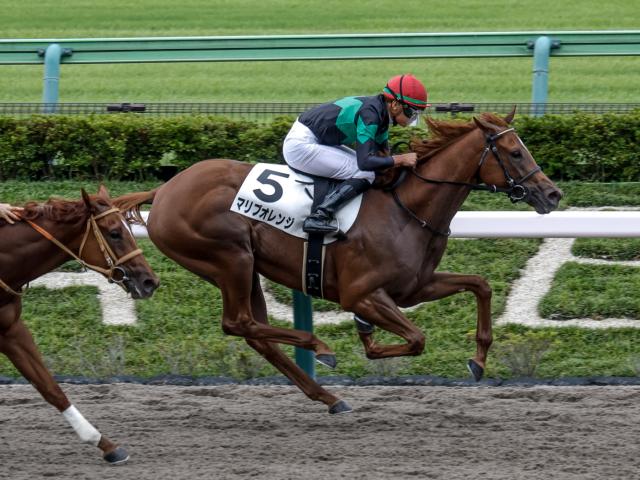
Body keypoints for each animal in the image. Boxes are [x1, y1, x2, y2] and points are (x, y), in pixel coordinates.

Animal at [0, 185, 159, 464]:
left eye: (128, 230)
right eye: (114, 233)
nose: (150, 281)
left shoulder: (11, 330)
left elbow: (50, 387)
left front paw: (106, 444)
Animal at [114, 110, 562, 414]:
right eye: (514, 153)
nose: (552, 194)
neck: (406, 208)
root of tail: (165, 189)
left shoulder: (415, 286)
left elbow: (480, 284)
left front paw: (478, 360)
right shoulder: (361, 294)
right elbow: (416, 338)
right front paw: (366, 341)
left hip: (246, 268)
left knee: (254, 332)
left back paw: (328, 396)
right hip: (230, 258)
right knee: (238, 322)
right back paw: (320, 349)